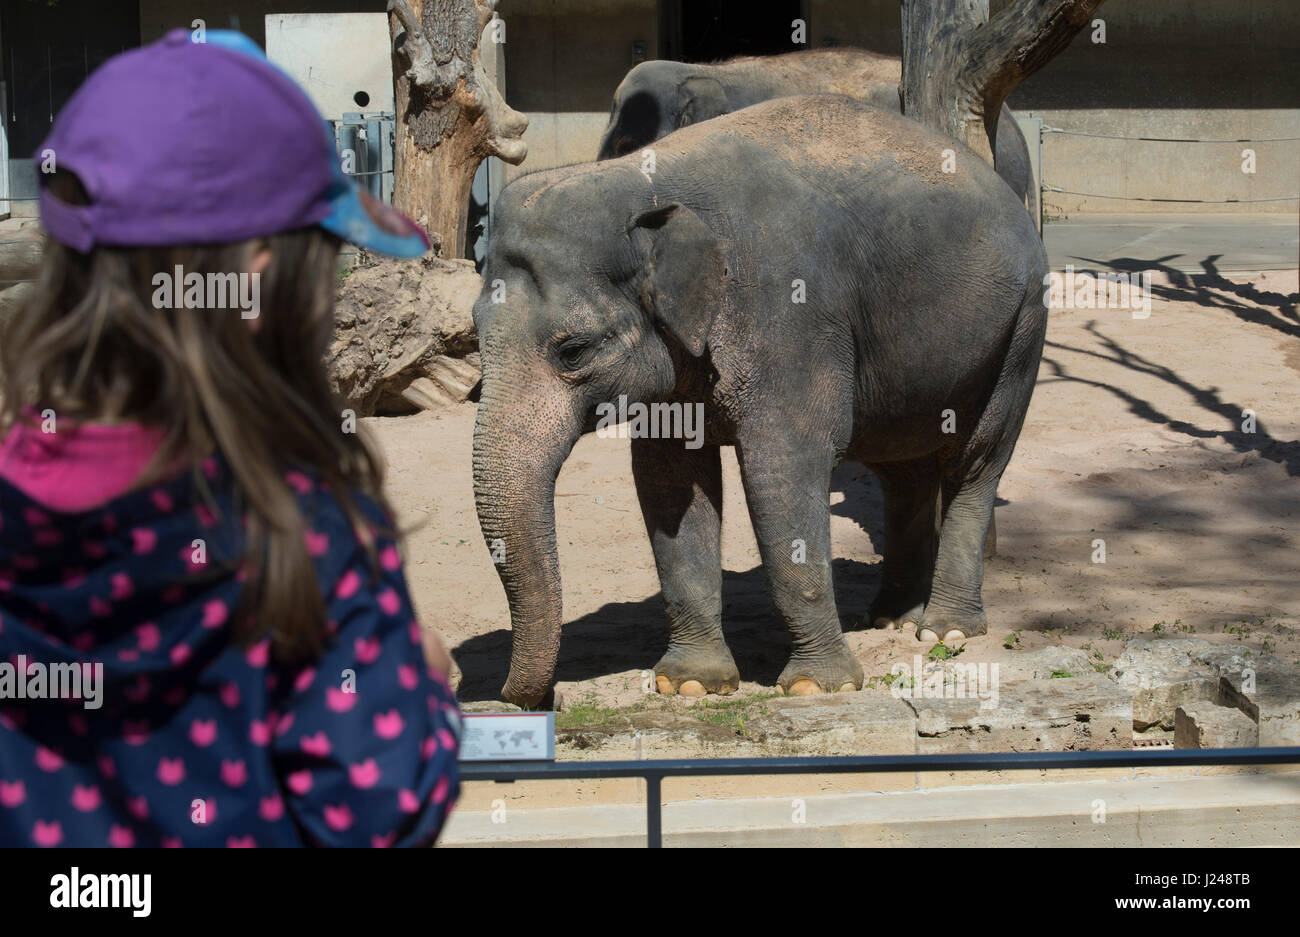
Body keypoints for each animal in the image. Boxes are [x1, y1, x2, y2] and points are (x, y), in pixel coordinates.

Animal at [473, 94, 1048, 708]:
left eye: (573, 350)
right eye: (473, 332)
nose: (543, 698)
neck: (643, 184)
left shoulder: (791, 317)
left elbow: (784, 470)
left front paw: (816, 687)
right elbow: (669, 482)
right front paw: (691, 684)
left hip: (1022, 330)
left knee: (976, 462)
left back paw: (946, 631)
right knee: (903, 469)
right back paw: (892, 618)